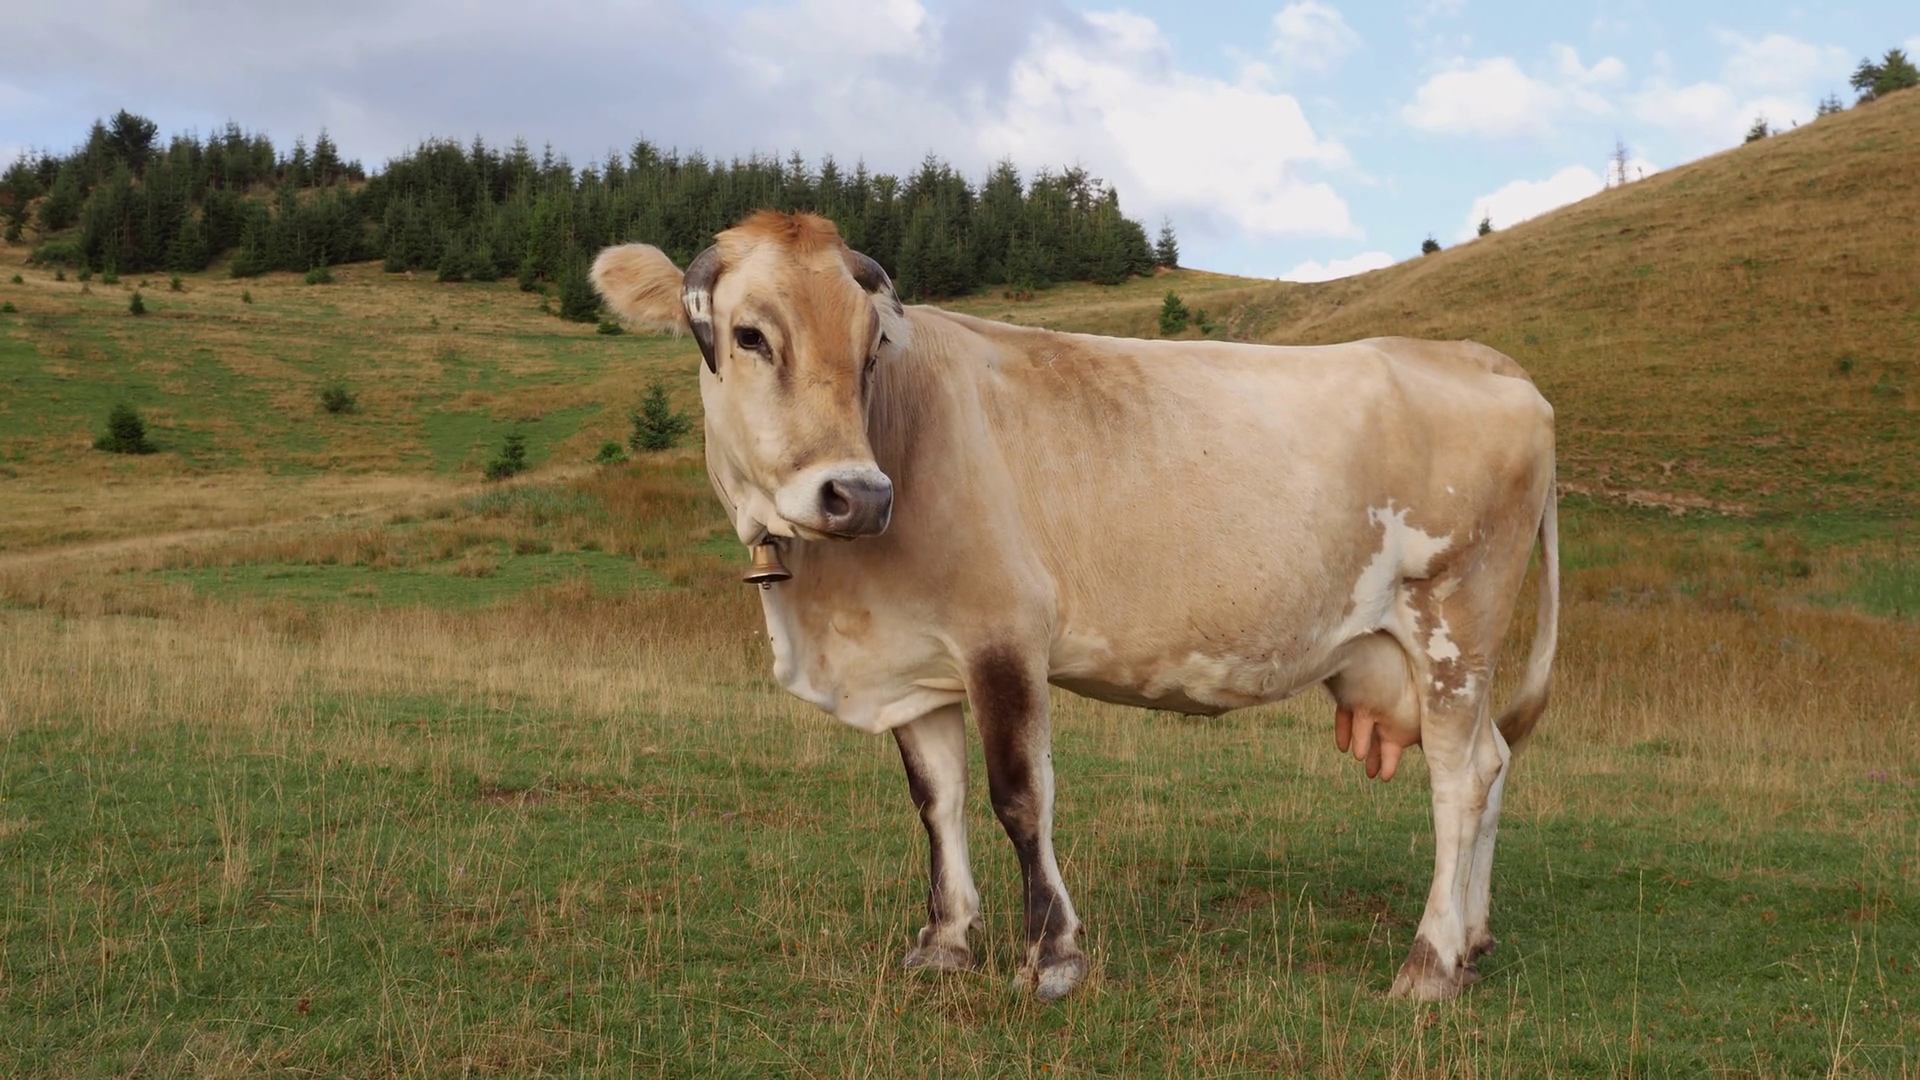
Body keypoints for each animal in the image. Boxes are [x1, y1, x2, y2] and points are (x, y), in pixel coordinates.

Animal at [591, 211, 1559, 1002]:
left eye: (870, 349)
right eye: (750, 335)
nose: (858, 495)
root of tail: (1480, 358)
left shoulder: (1004, 636)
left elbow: (1021, 795)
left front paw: (1052, 956)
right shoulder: (918, 661)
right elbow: (936, 799)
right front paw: (946, 942)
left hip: (1455, 622)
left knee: (1459, 779)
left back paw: (1429, 964)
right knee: (1495, 759)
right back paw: (1472, 943)